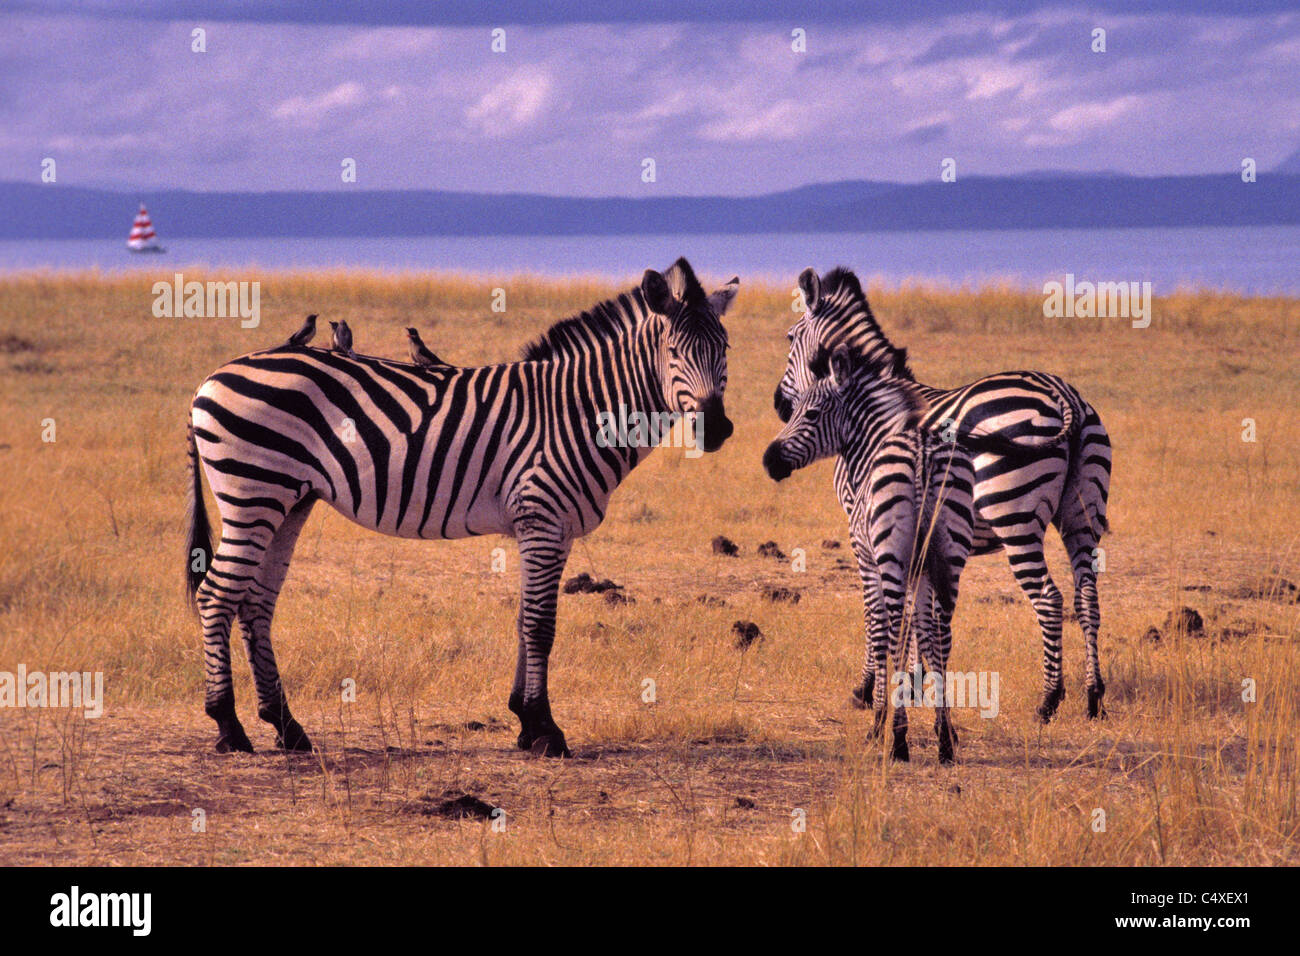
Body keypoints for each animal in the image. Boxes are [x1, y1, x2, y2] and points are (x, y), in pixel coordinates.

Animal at [184, 258, 740, 757]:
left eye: (726, 349)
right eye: (673, 351)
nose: (716, 428)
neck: (580, 410)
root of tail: (210, 378)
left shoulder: (548, 528)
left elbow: (523, 618)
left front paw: (524, 721)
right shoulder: (543, 518)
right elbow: (540, 624)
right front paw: (545, 730)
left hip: (289, 500)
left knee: (256, 603)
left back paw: (286, 727)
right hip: (252, 492)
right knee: (215, 595)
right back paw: (229, 727)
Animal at [763, 345, 975, 763]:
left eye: (810, 413)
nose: (769, 460)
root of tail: (923, 451)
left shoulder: (866, 560)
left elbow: (879, 632)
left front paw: (878, 723)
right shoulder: (921, 572)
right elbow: (925, 635)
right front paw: (944, 729)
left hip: (889, 558)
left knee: (892, 629)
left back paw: (898, 739)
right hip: (951, 556)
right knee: (943, 633)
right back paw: (944, 744)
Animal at [774, 267, 1111, 721]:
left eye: (791, 337)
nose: (779, 404)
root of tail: (1065, 396)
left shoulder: (864, 522)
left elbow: (877, 607)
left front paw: (868, 688)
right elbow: (923, 607)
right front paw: (917, 681)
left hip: (1014, 518)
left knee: (1049, 599)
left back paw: (1048, 699)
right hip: (1082, 515)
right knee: (1087, 597)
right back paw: (1093, 695)